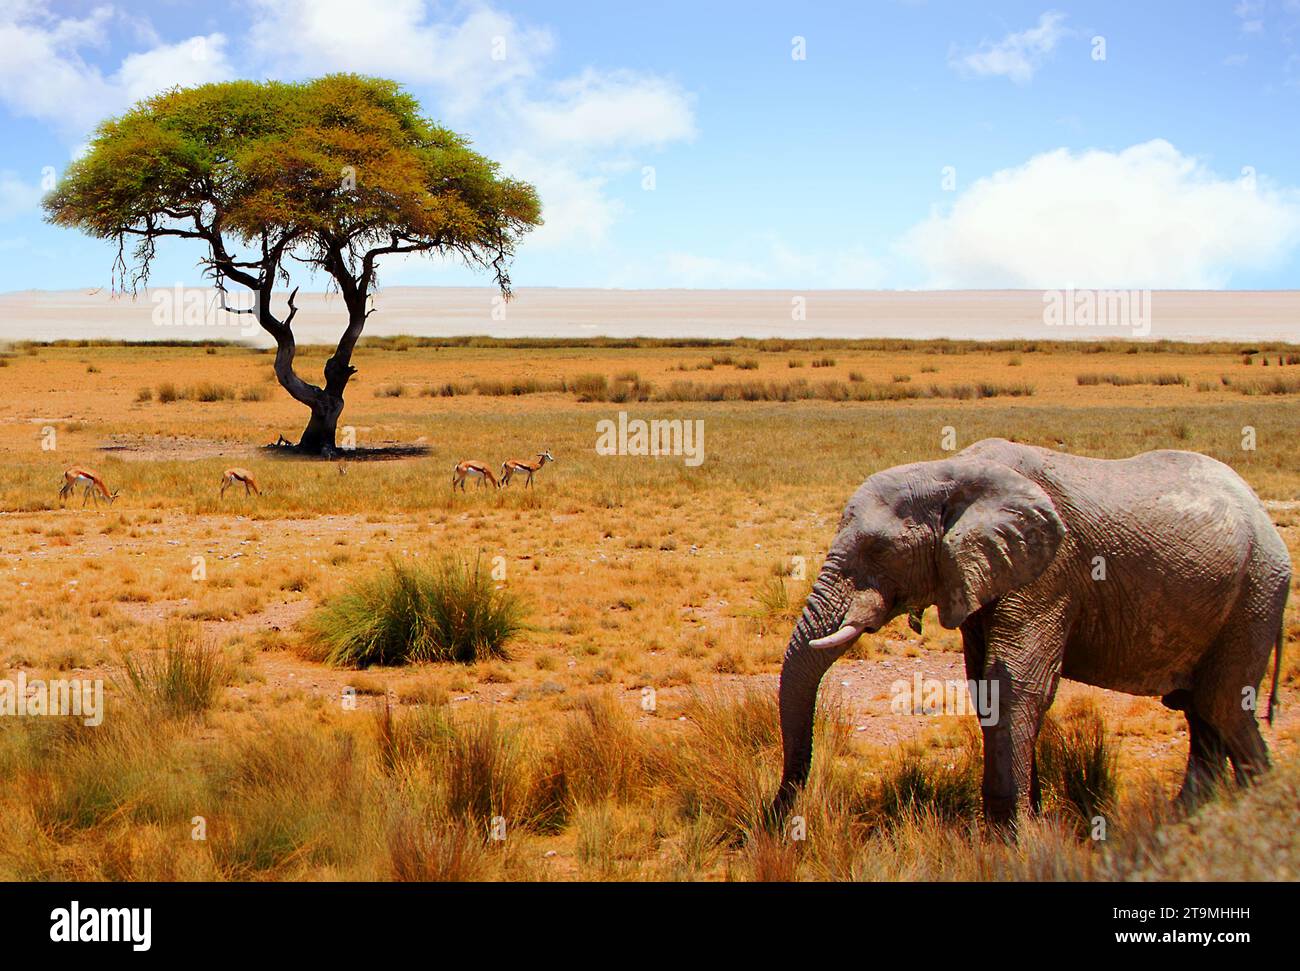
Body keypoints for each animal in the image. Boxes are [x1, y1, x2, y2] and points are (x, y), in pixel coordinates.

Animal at [771, 438, 1290, 828]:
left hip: (1258, 590)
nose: (775, 818)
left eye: (878, 550)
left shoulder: (1051, 571)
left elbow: (1015, 684)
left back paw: (1260, 811)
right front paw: (1021, 823)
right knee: (1202, 712)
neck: (950, 472)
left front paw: (1014, 840)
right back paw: (1188, 818)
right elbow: (985, 687)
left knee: (1223, 705)